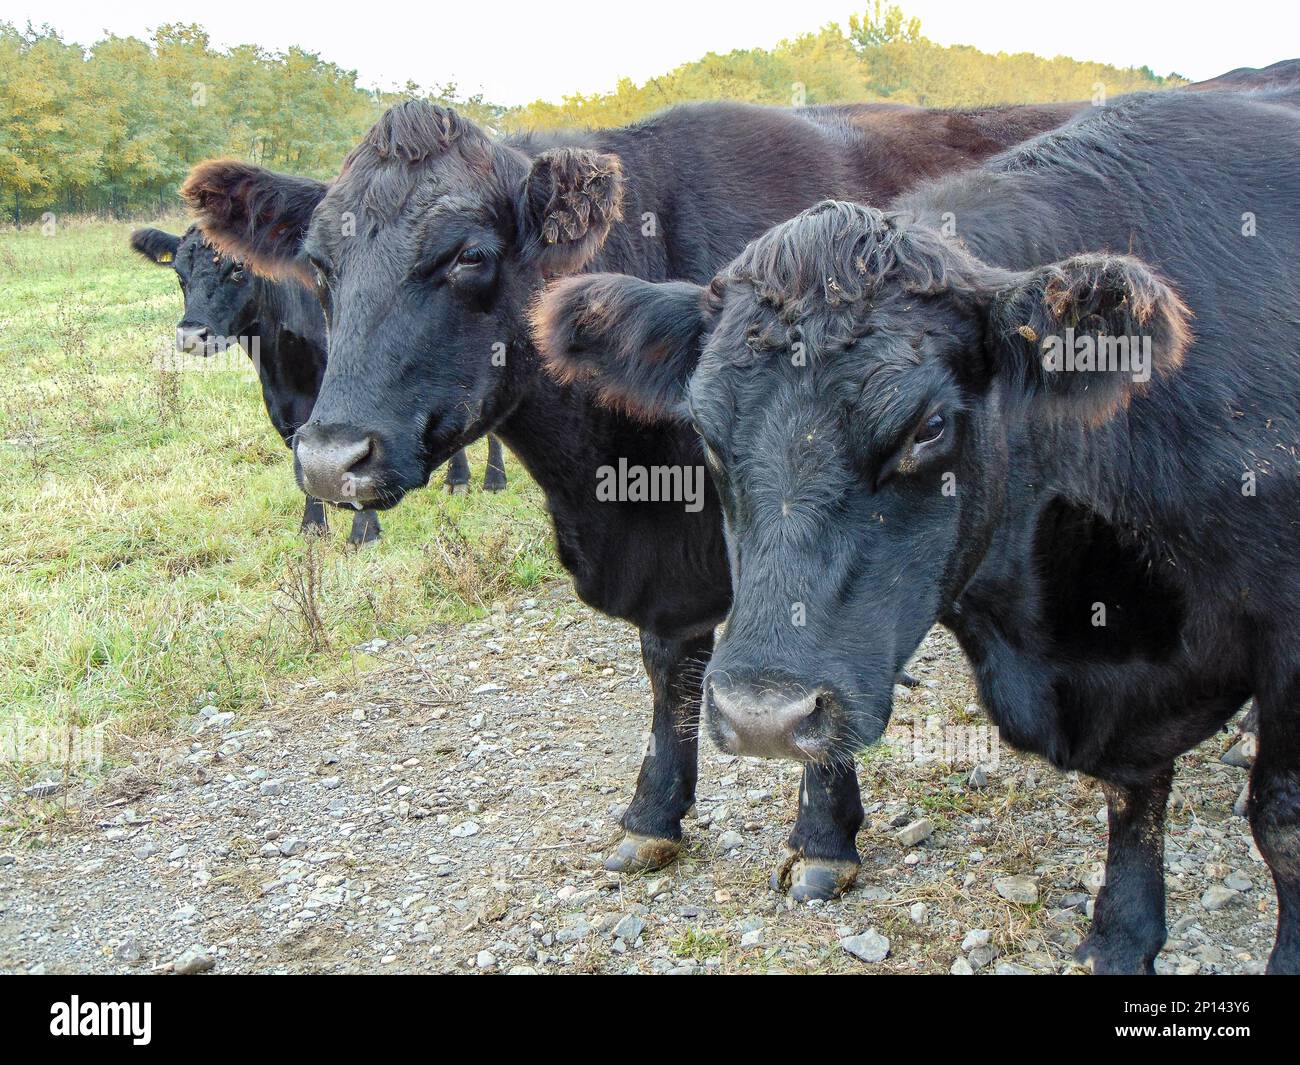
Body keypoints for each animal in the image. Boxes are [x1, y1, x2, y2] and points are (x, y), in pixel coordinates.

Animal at [130, 225, 507, 543]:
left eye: (238, 268)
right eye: (179, 274)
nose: (192, 335)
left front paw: (364, 531)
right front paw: (312, 526)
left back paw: (490, 479)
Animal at [178, 94, 1091, 877]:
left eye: (469, 256)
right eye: (318, 266)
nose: (330, 457)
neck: (615, 486)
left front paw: (824, 837)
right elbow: (669, 667)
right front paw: (654, 815)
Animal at [533, 88, 1300, 974]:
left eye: (928, 427)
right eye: (703, 427)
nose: (764, 715)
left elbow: (1282, 820)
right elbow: (1134, 791)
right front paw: (1122, 933)